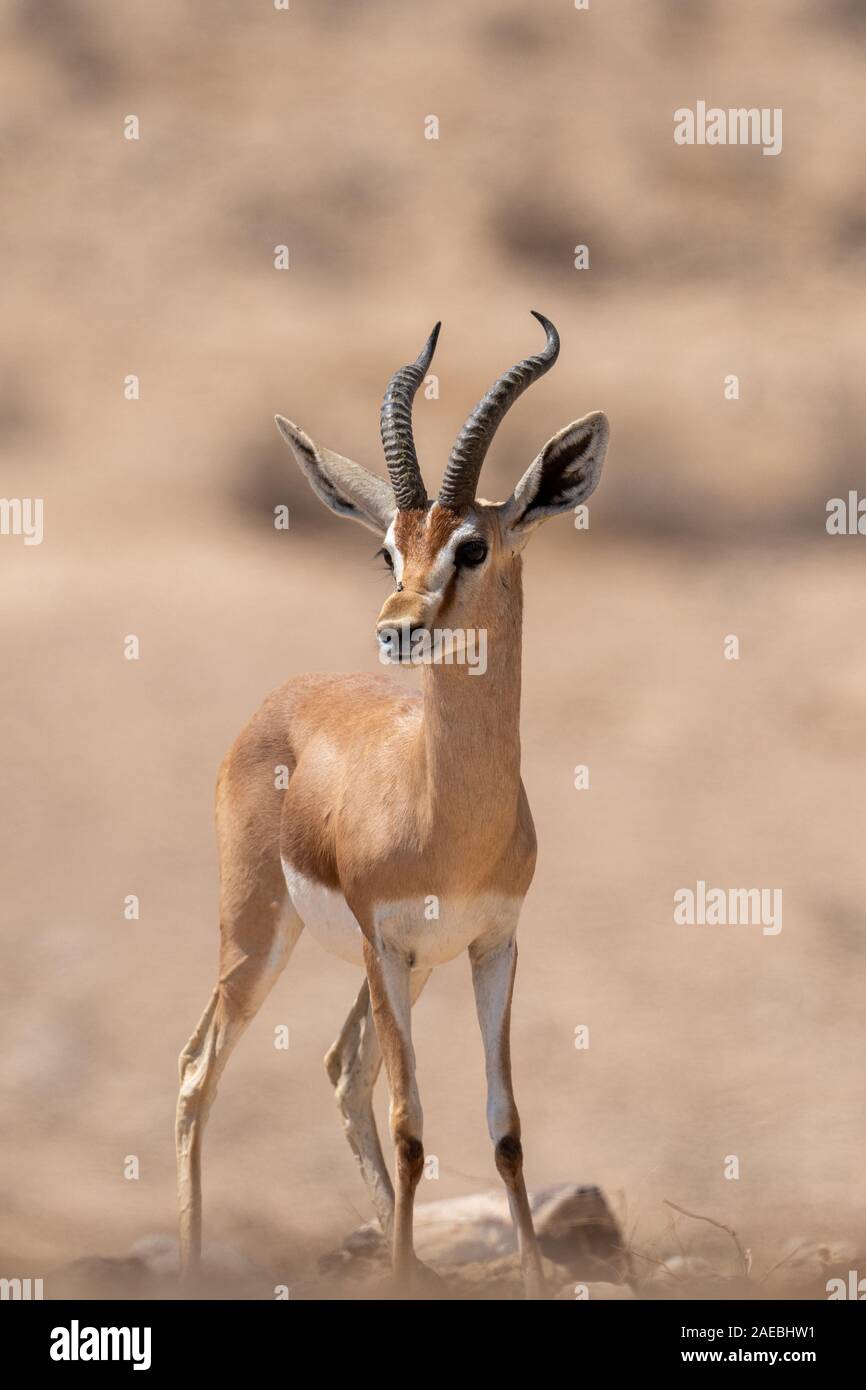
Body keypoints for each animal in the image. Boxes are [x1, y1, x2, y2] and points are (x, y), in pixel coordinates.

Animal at [175, 312, 609, 1299]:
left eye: (472, 546)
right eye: (388, 548)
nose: (397, 625)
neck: (447, 812)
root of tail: (284, 698)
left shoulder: (493, 945)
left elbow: (505, 1124)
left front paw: (532, 1273)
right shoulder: (387, 943)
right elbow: (414, 1126)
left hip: (403, 970)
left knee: (341, 1067)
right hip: (262, 935)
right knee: (198, 1069)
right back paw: (186, 1260)